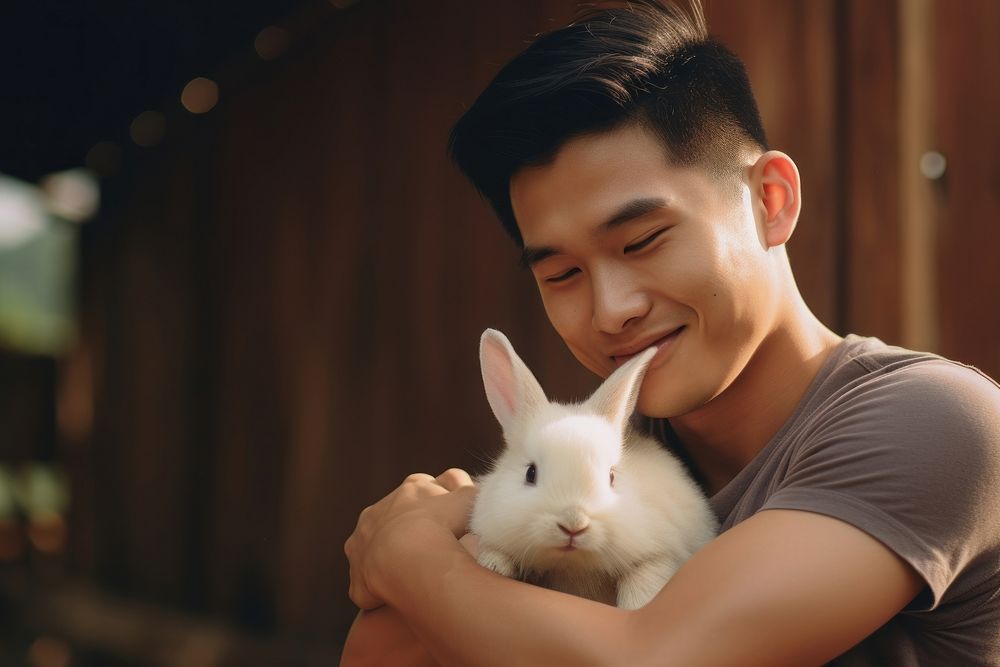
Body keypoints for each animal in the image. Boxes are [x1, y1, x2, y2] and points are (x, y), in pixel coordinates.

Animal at [469, 328, 718, 610]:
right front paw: (494, 566)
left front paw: (637, 605)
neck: (572, 565)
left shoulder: (661, 553)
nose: (573, 524)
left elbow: (645, 579)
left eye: (612, 477)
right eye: (530, 473)